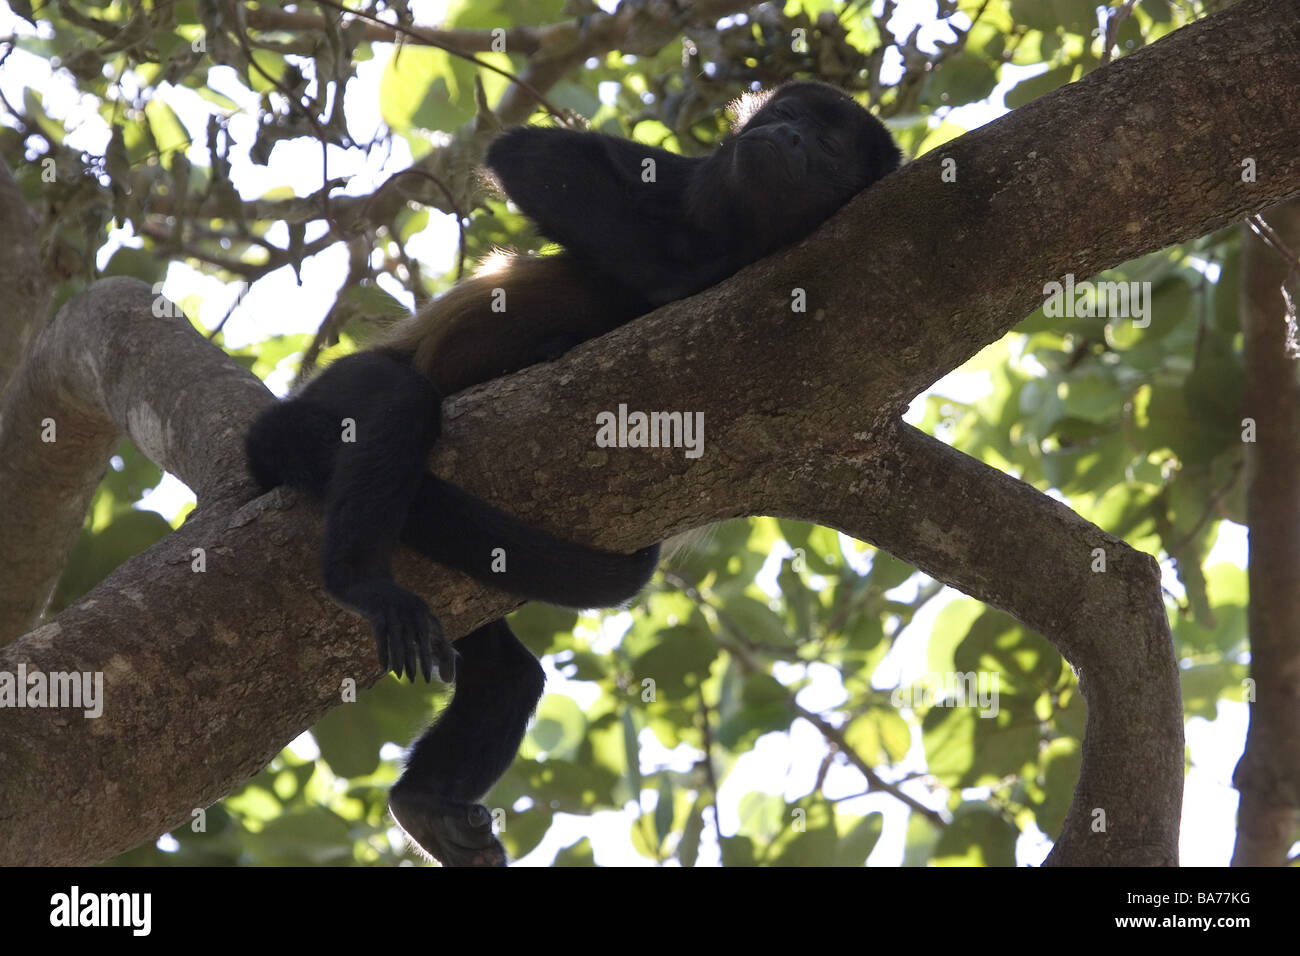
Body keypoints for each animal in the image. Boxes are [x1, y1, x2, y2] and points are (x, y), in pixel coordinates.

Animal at [244, 81, 901, 865]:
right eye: (787, 115)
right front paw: (687, 271)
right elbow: (531, 153)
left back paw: (427, 803)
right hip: (345, 385)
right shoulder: (686, 175)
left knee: (509, 677)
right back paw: (360, 582)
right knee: (398, 398)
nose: (787, 133)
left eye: (827, 143)